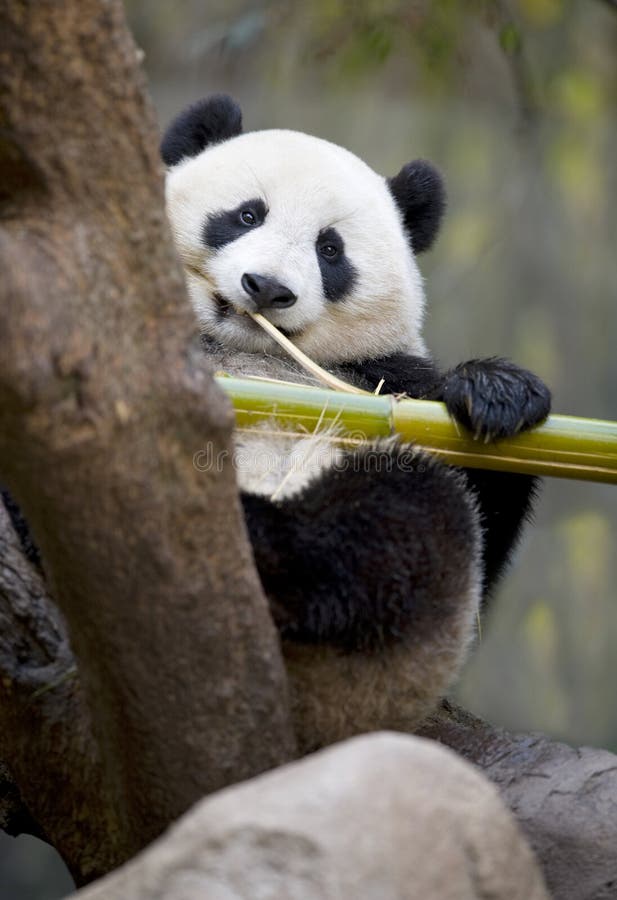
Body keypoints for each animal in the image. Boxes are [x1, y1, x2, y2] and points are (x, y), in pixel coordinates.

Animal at [162, 95, 551, 753]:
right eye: (246, 214)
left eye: (331, 250)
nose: (266, 288)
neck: (252, 354)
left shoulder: (382, 379)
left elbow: (486, 498)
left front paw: (497, 395)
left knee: (398, 517)